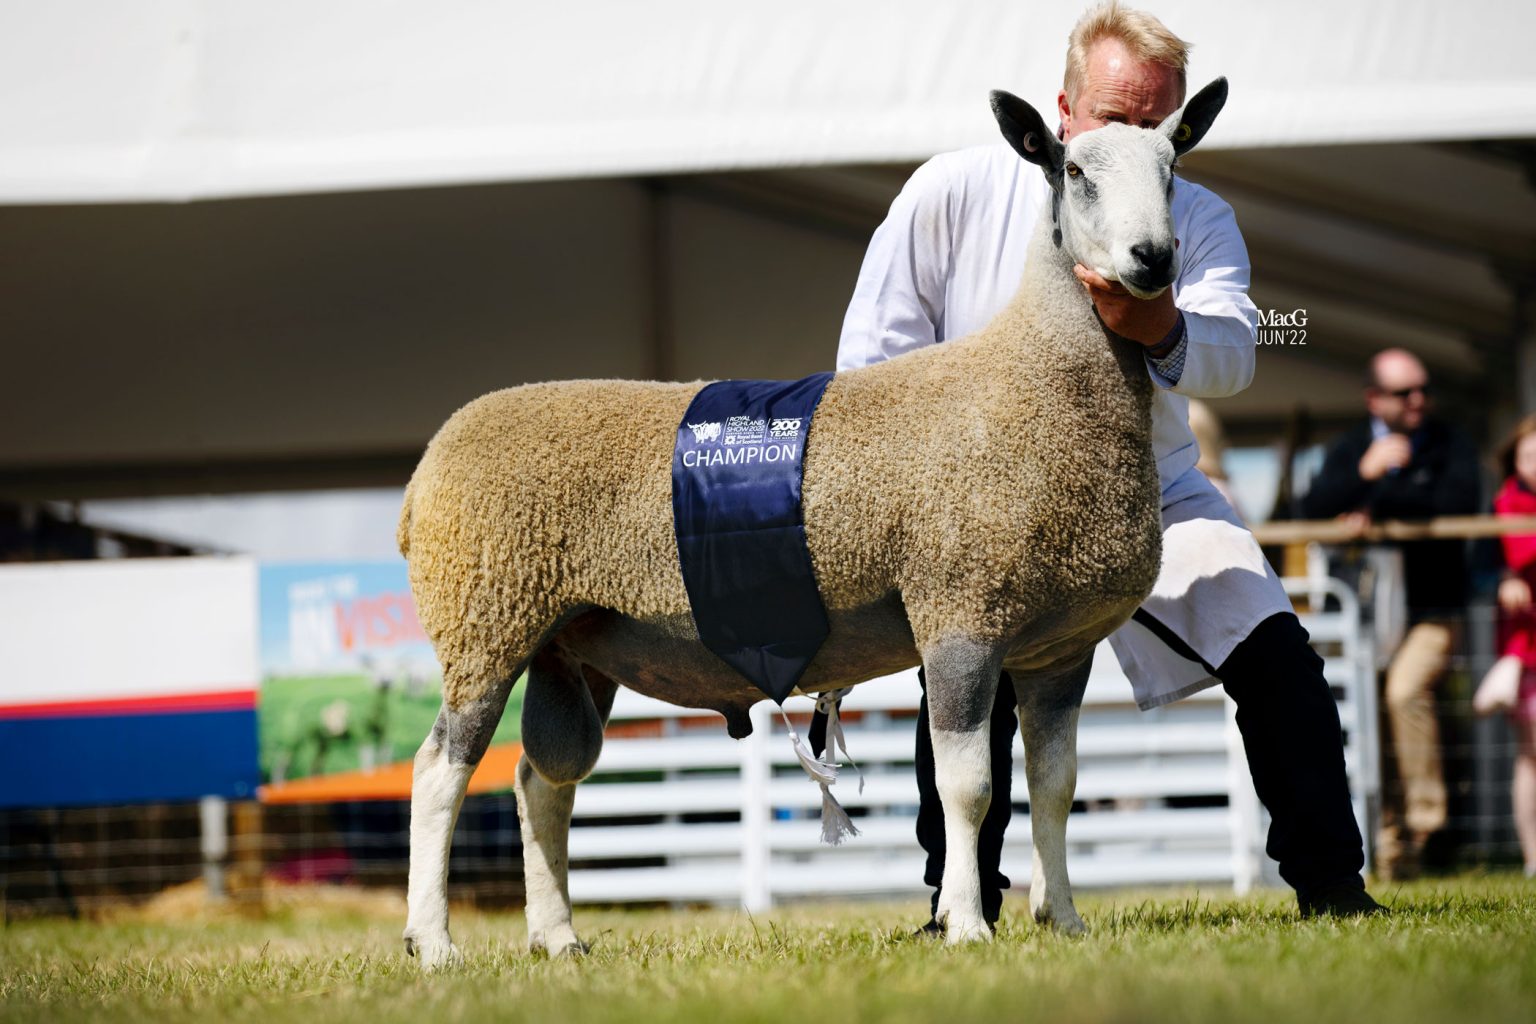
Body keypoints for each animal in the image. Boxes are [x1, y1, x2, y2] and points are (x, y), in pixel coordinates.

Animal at [398, 79, 1230, 966]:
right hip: (484, 619)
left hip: (573, 639)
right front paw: (968, 925)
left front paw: (1064, 921)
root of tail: (424, 474)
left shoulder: (1057, 646)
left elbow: (1056, 785)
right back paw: (434, 943)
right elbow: (968, 788)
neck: (1033, 381)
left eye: (1173, 168)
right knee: (440, 771)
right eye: (1074, 171)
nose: (1153, 259)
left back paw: (557, 939)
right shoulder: (960, 612)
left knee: (541, 782)